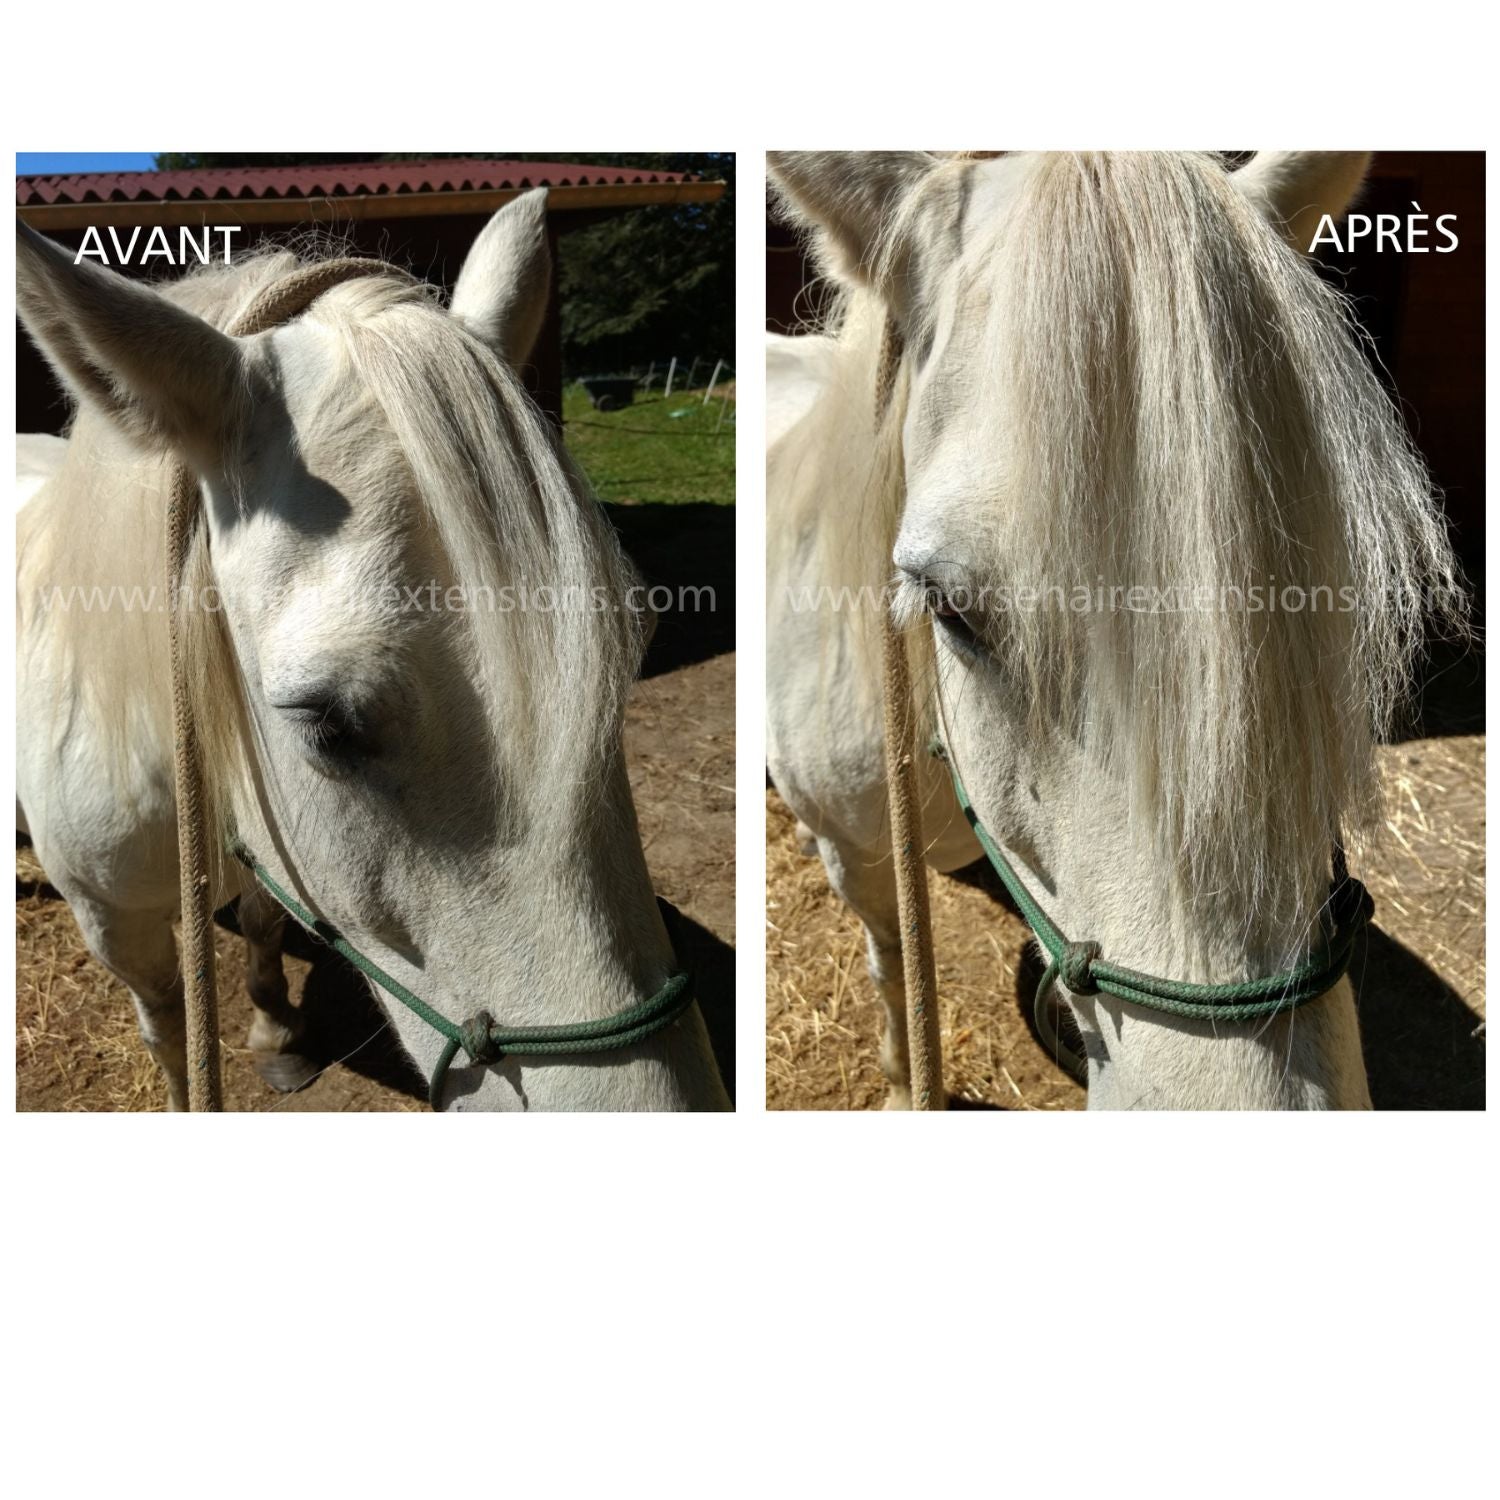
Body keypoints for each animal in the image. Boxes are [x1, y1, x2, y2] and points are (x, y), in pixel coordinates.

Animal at [16, 190, 730, 1111]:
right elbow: (167, 1030)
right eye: (324, 723)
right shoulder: (113, 924)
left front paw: (275, 1028)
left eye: (635, 644)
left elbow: (264, 917)